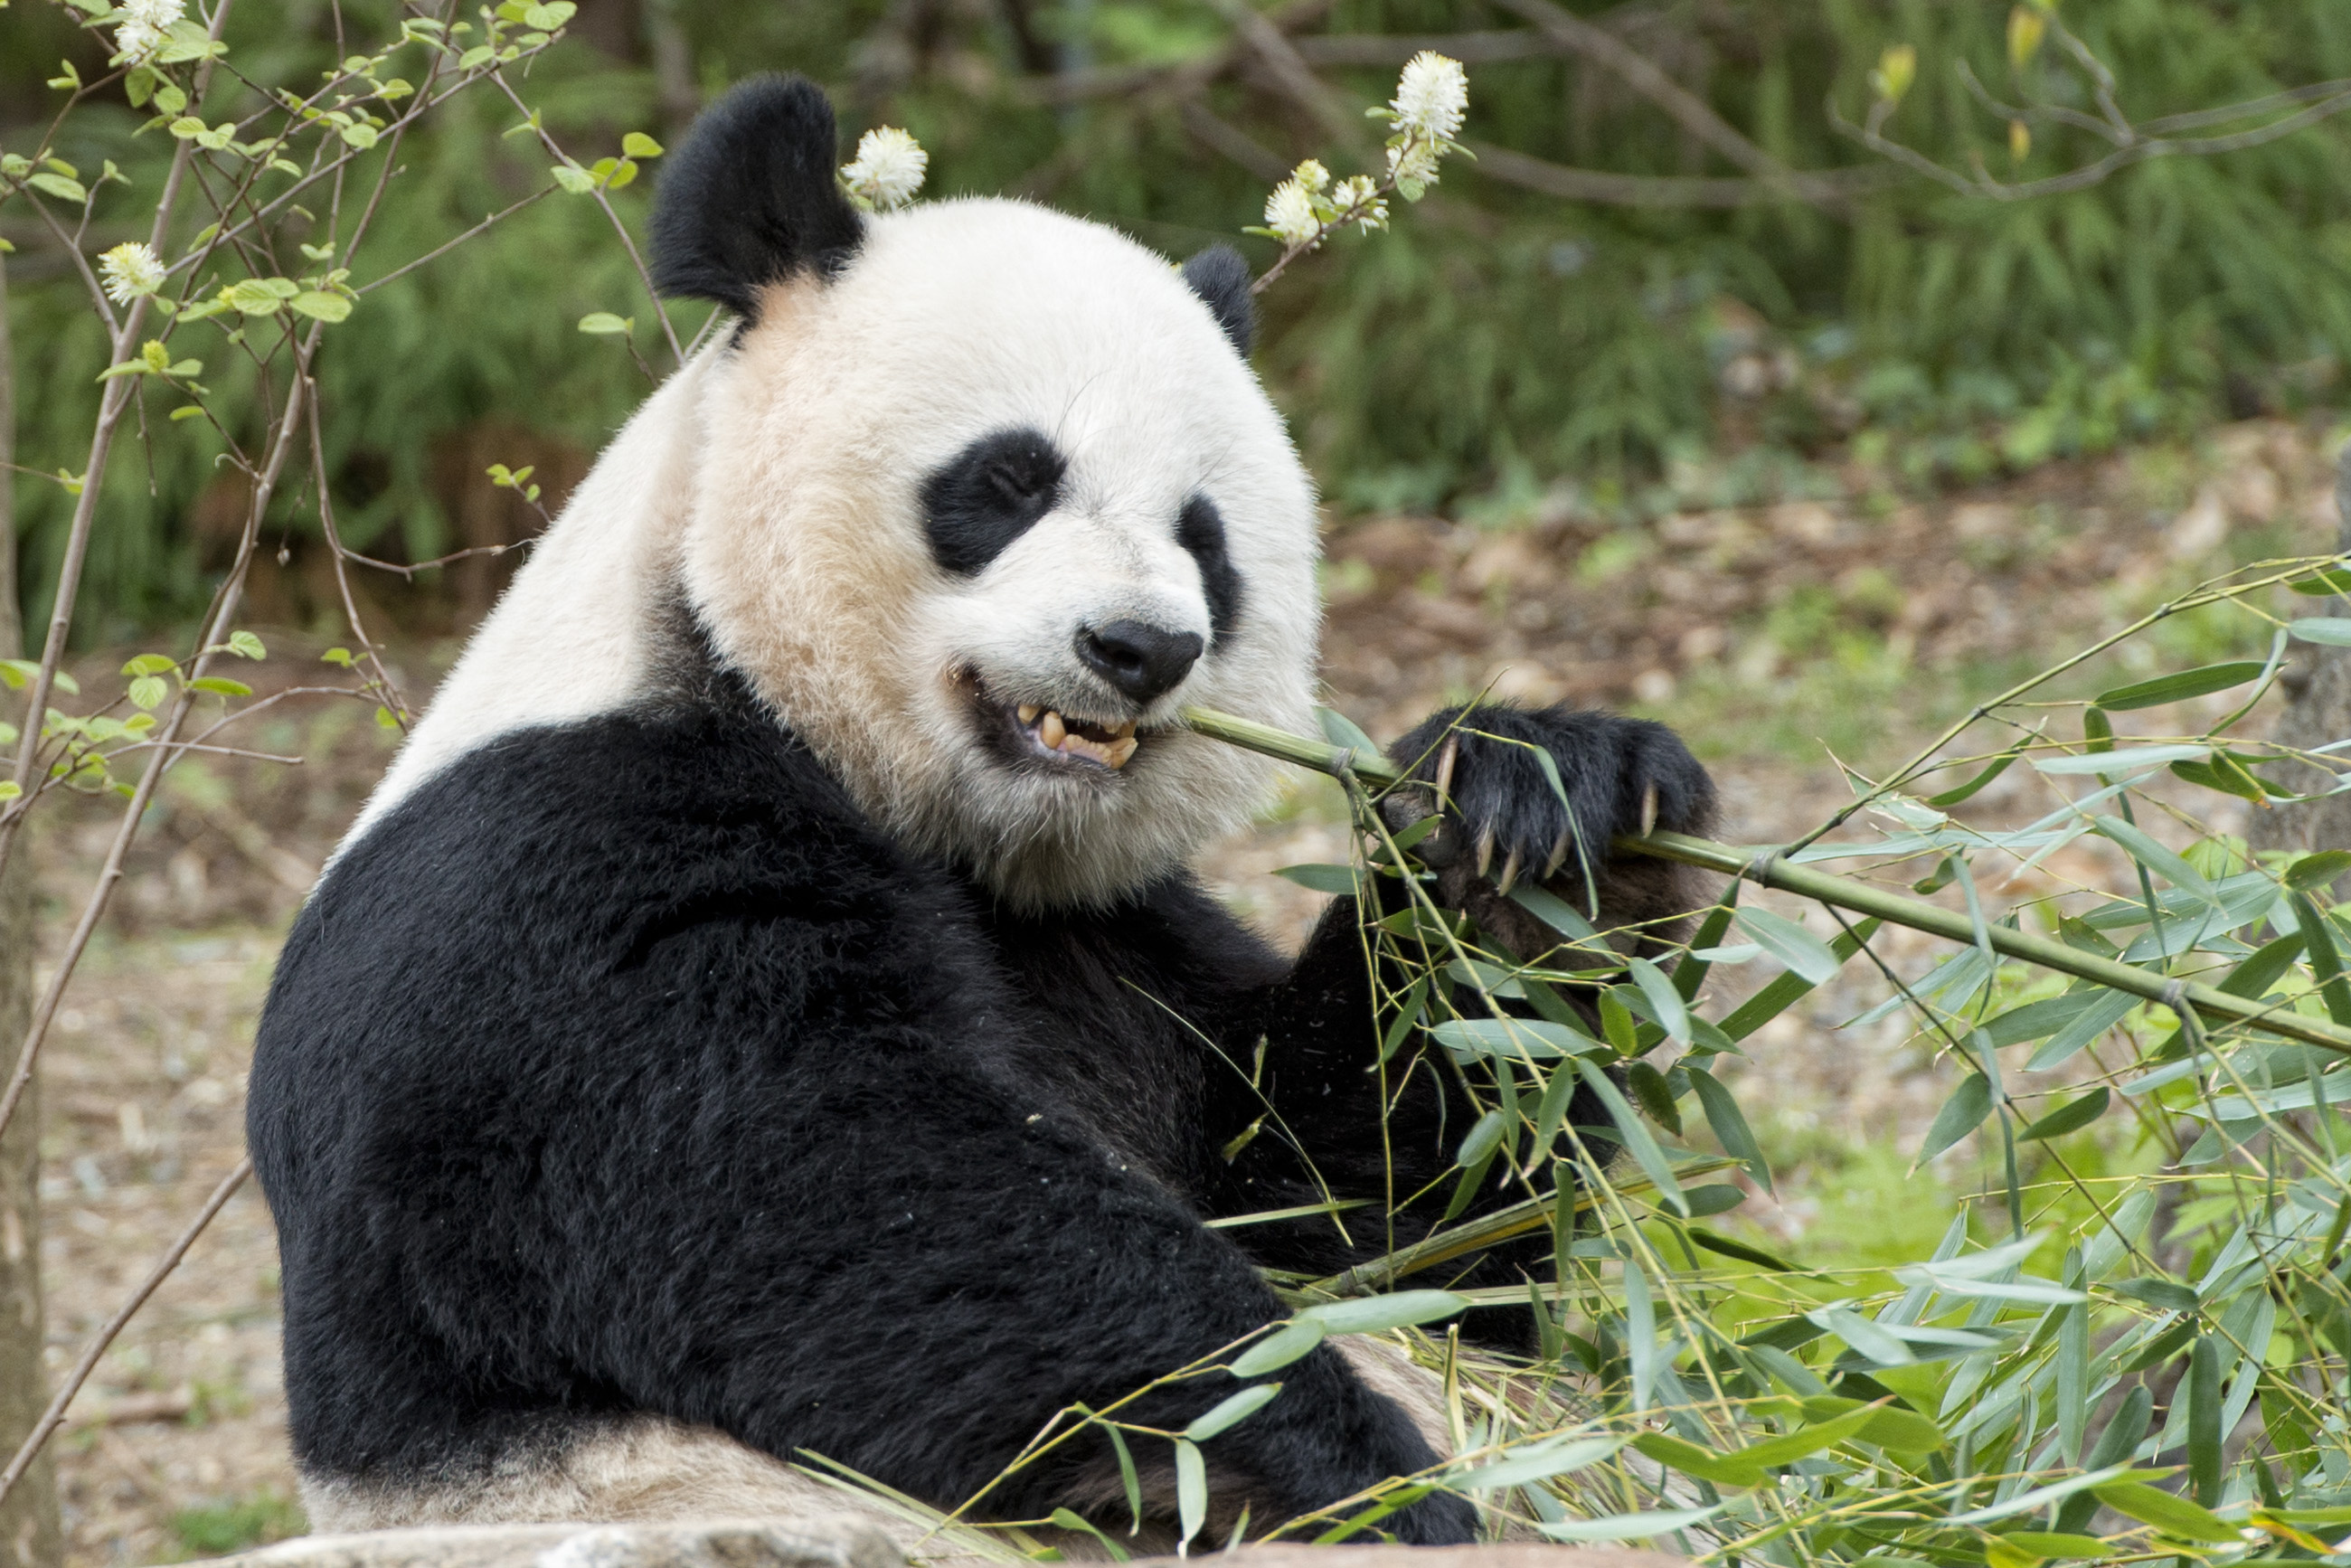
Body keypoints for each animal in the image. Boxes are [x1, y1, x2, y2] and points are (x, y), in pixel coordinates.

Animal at [247, 73, 1715, 1553]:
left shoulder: (1106, 938)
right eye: (1010, 480)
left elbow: (1368, 1198)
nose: (1139, 647)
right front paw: (1360, 1466)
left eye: (1203, 537)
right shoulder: (557, 887)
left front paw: (1549, 831)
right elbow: (838, 1202)